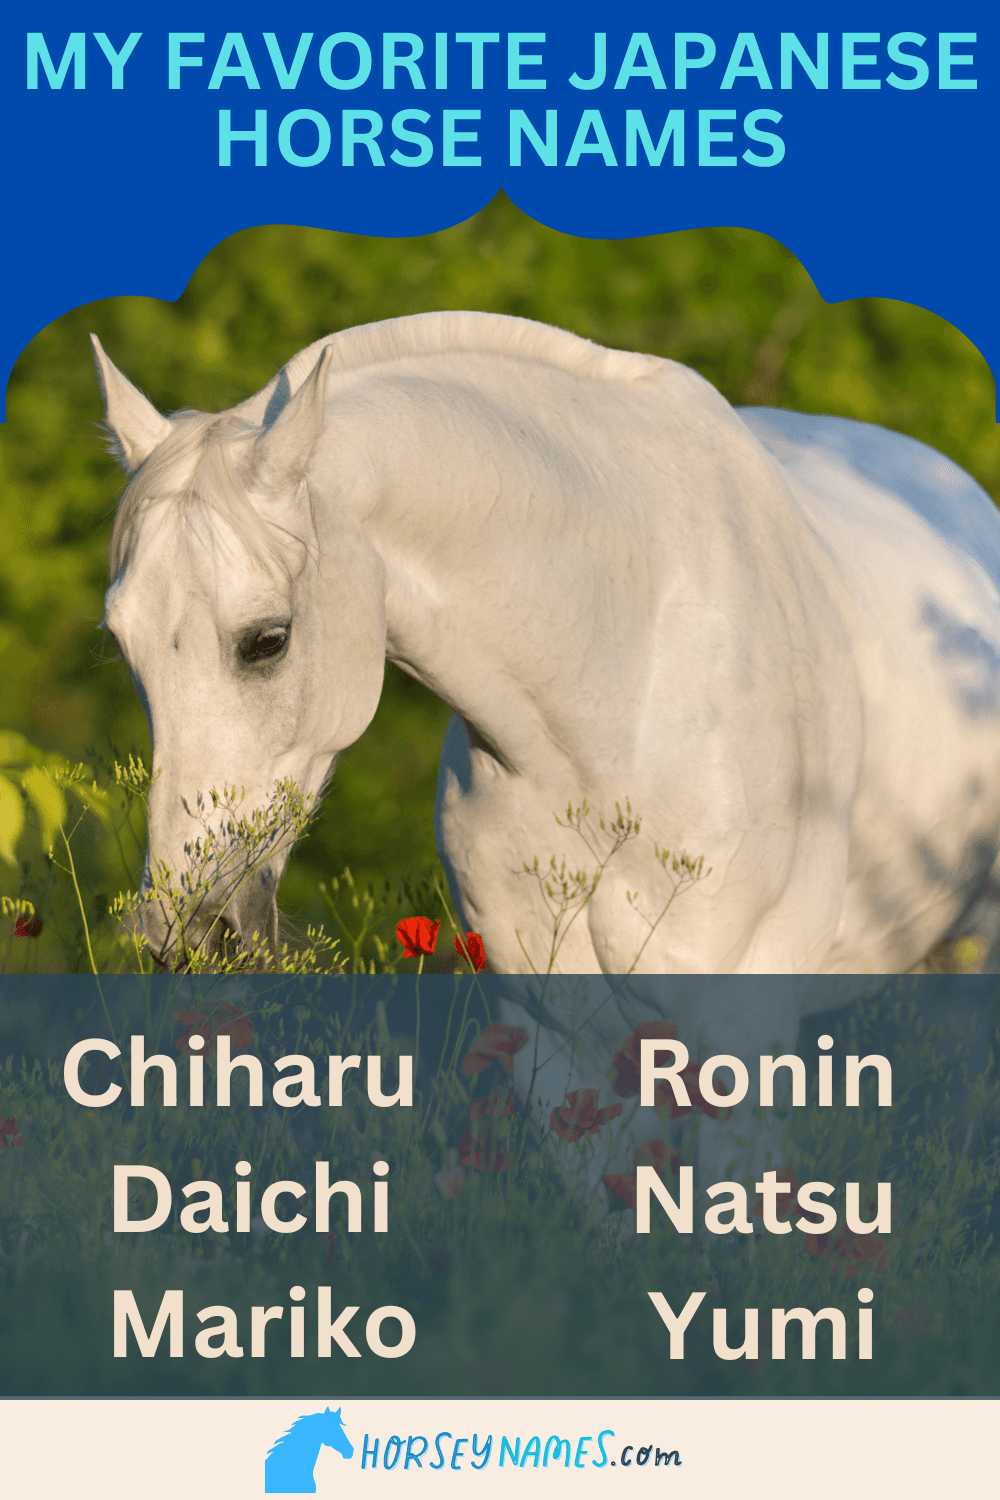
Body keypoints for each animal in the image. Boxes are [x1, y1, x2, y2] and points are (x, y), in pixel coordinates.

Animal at [93, 311, 1000, 1172]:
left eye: (266, 641)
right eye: (122, 646)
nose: (185, 930)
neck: (620, 698)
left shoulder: (740, 1036)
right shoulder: (559, 1043)